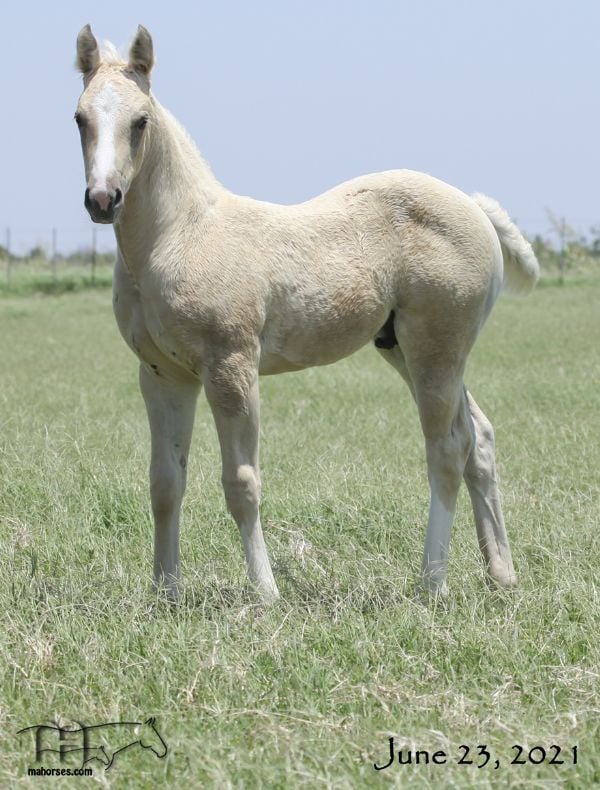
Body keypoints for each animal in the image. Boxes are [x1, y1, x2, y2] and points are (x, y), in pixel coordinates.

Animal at [73, 24, 539, 603]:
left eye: (140, 121)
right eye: (80, 118)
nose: (103, 199)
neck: (178, 235)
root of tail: (475, 207)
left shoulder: (231, 368)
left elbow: (241, 483)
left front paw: (266, 592)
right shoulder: (163, 375)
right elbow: (165, 482)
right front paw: (165, 594)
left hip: (437, 350)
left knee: (447, 451)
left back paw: (431, 583)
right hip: (406, 350)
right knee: (479, 439)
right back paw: (501, 573)